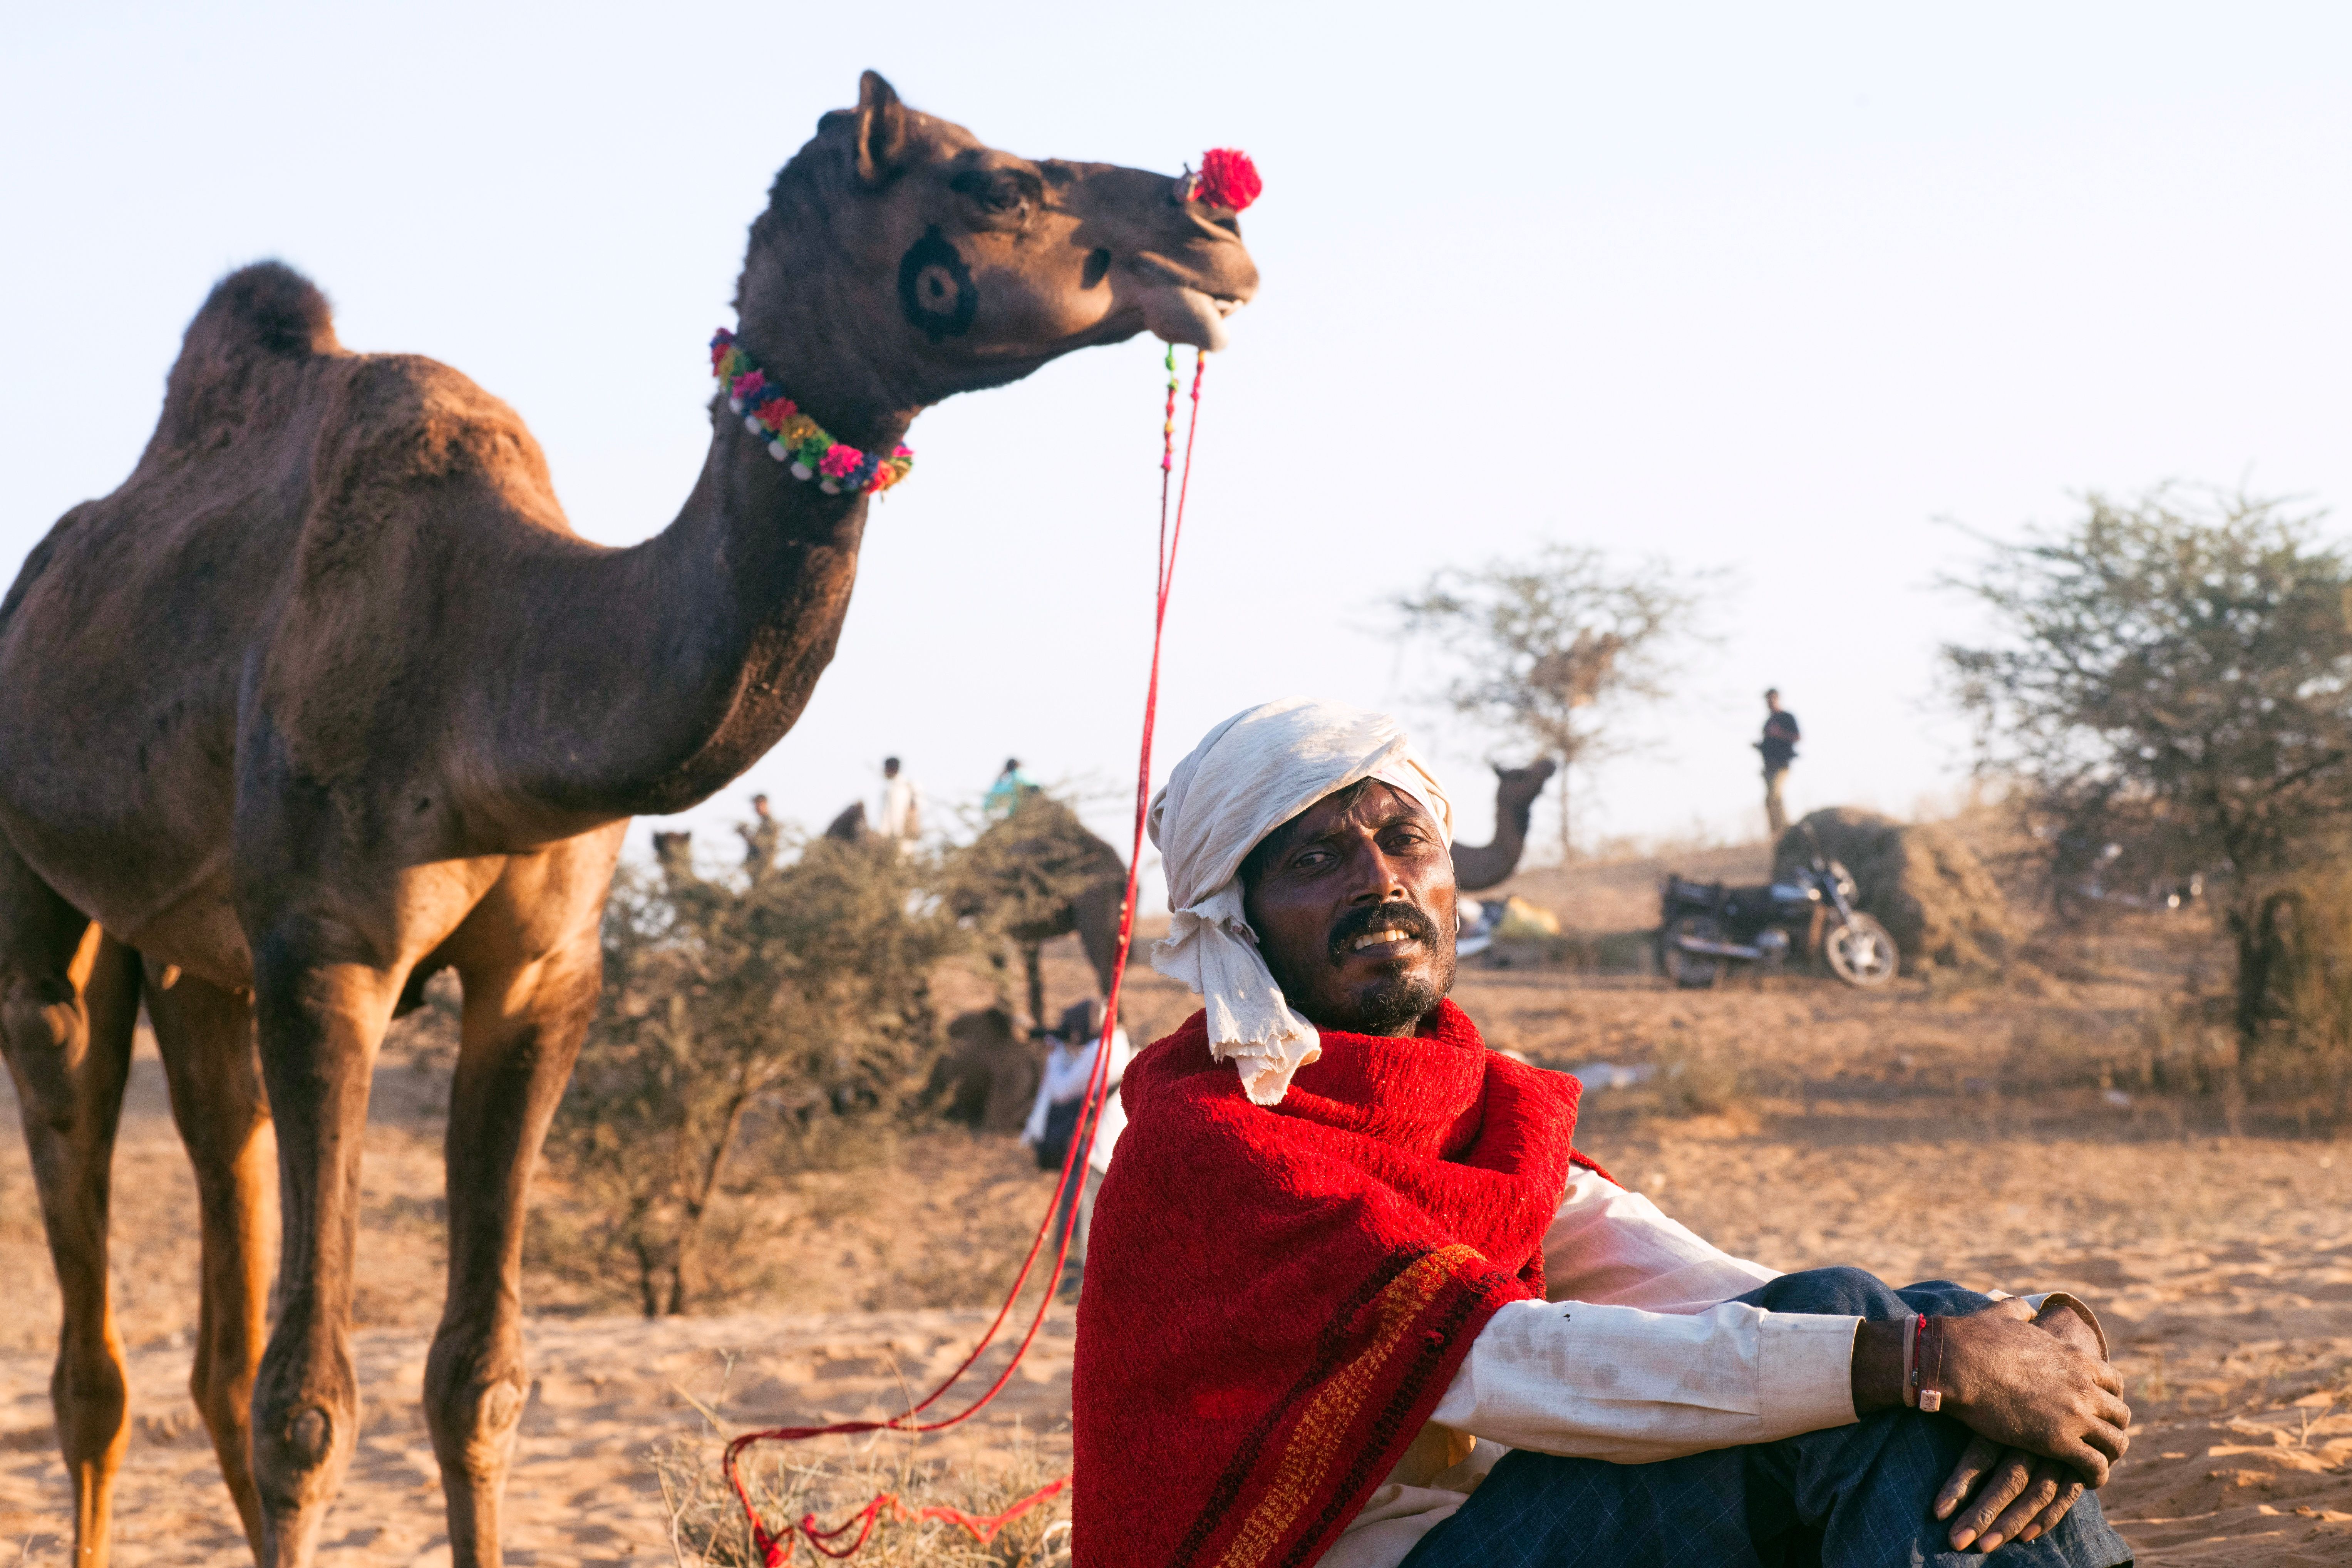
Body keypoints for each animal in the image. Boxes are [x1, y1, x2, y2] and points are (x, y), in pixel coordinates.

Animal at [0, 70, 1254, 1568]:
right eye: (999, 182)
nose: (1215, 226)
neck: (491, 660)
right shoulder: (327, 963)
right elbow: (306, 1408)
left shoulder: (543, 975)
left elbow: (475, 1379)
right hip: (55, 903)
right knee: (90, 1285)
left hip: (204, 959)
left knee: (213, 1267)